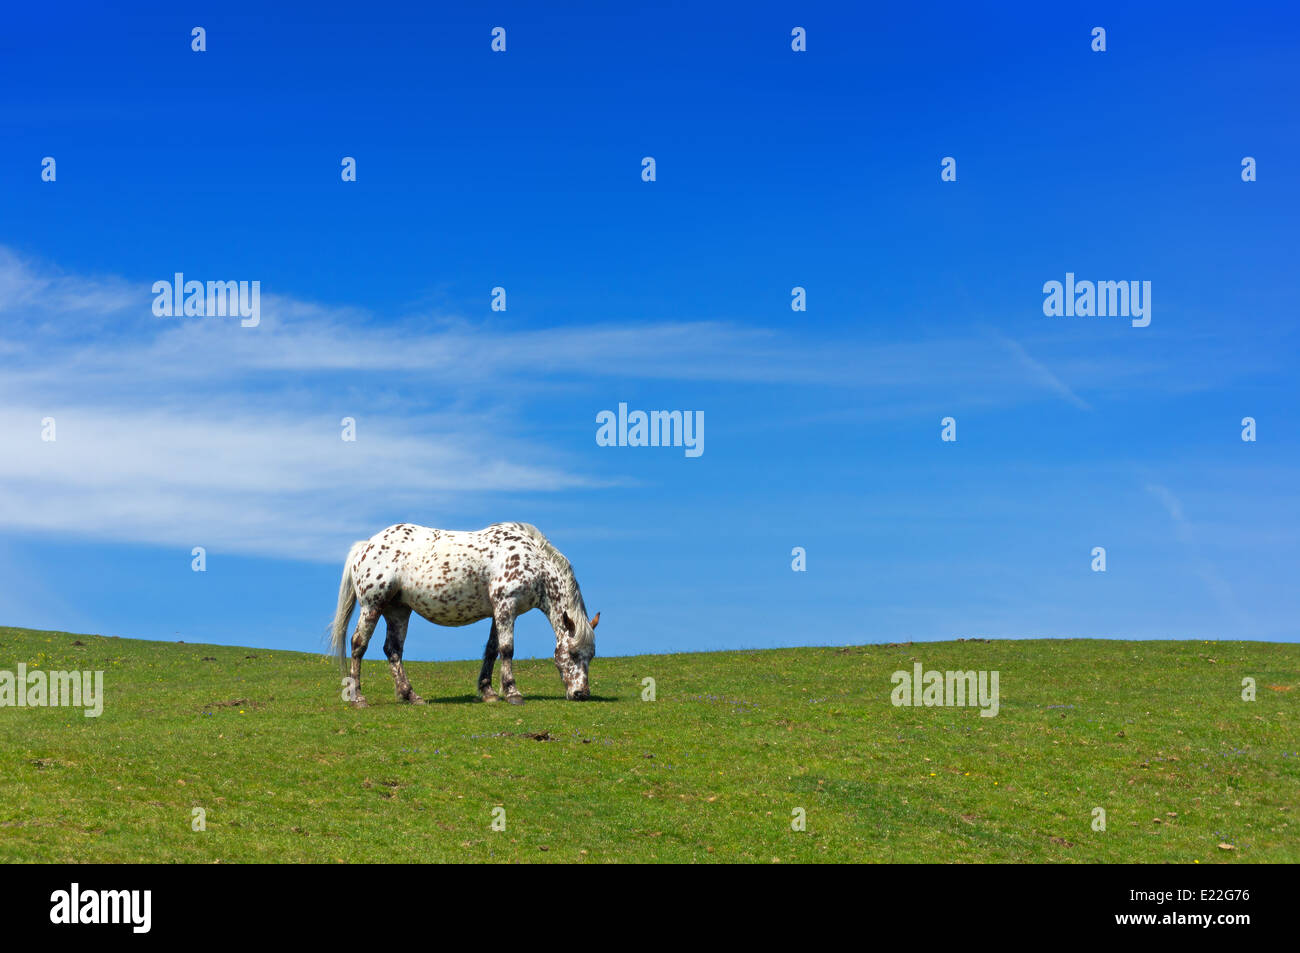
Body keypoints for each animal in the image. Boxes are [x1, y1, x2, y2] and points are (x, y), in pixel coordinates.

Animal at [328, 522, 599, 707]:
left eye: (591, 656)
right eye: (573, 654)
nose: (581, 693)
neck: (531, 560)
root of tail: (366, 545)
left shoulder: (498, 612)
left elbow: (492, 649)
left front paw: (488, 692)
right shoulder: (506, 606)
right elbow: (507, 649)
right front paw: (512, 692)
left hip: (398, 610)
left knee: (393, 650)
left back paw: (411, 695)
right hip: (372, 606)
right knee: (358, 645)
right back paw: (358, 697)